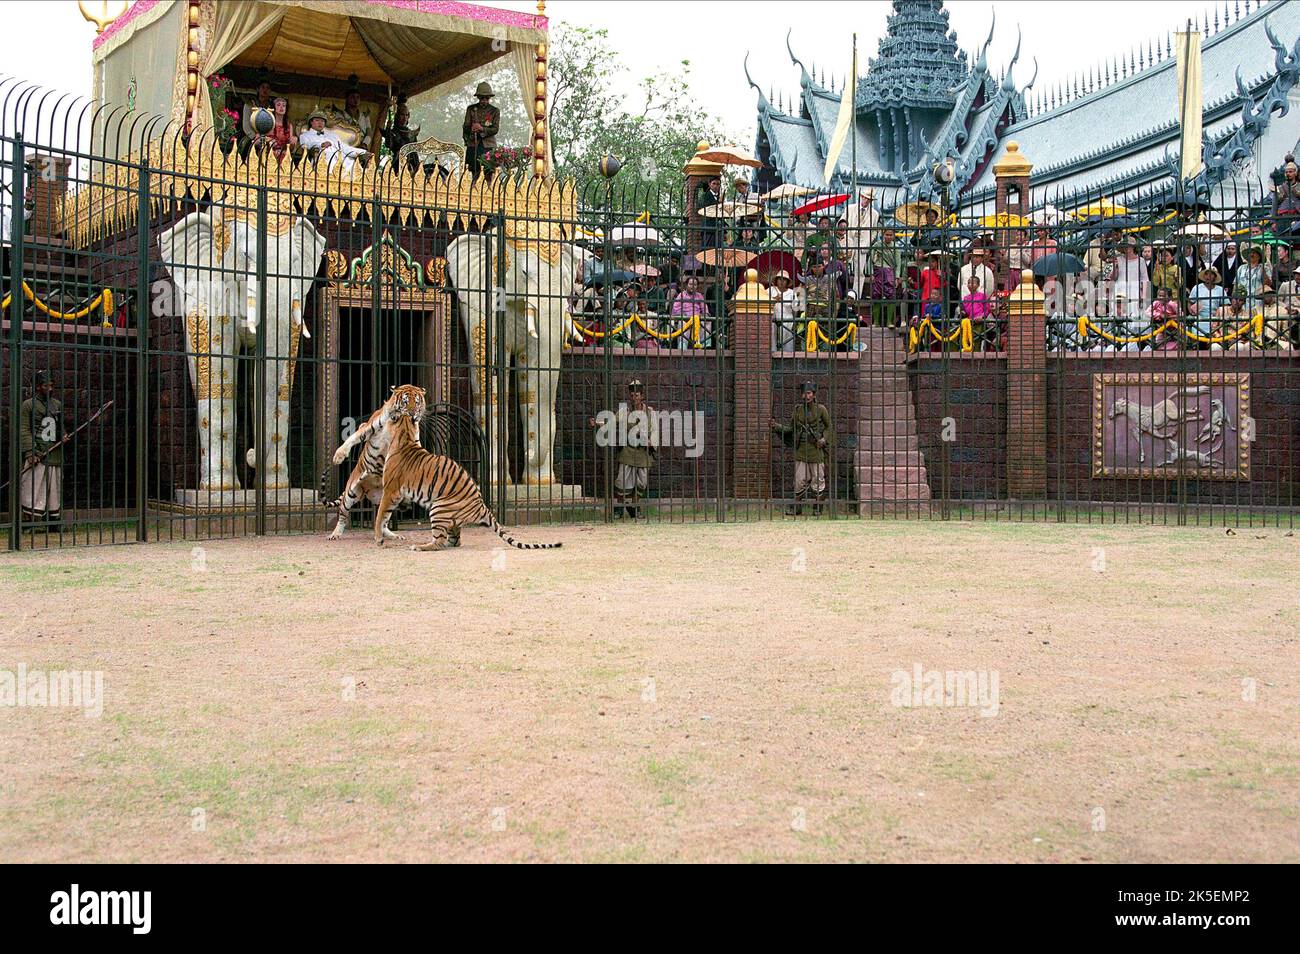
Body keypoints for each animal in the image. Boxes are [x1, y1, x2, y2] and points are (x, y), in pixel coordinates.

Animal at [320, 384, 428, 540]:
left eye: (417, 402)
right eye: (406, 402)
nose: (413, 414)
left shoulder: (414, 439)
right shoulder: (369, 426)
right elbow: (352, 438)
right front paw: (338, 456)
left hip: (391, 497)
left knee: (383, 520)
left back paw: (392, 535)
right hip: (350, 495)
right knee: (342, 516)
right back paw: (335, 534)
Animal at [374, 412, 562, 552]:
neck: (404, 436)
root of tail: (481, 505)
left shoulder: (390, 491)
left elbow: (380, 514)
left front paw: (378, 538)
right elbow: (385, 515)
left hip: (438, 507)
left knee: (439, 542)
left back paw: (420, 547)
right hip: (447, 515)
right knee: (454, 540)